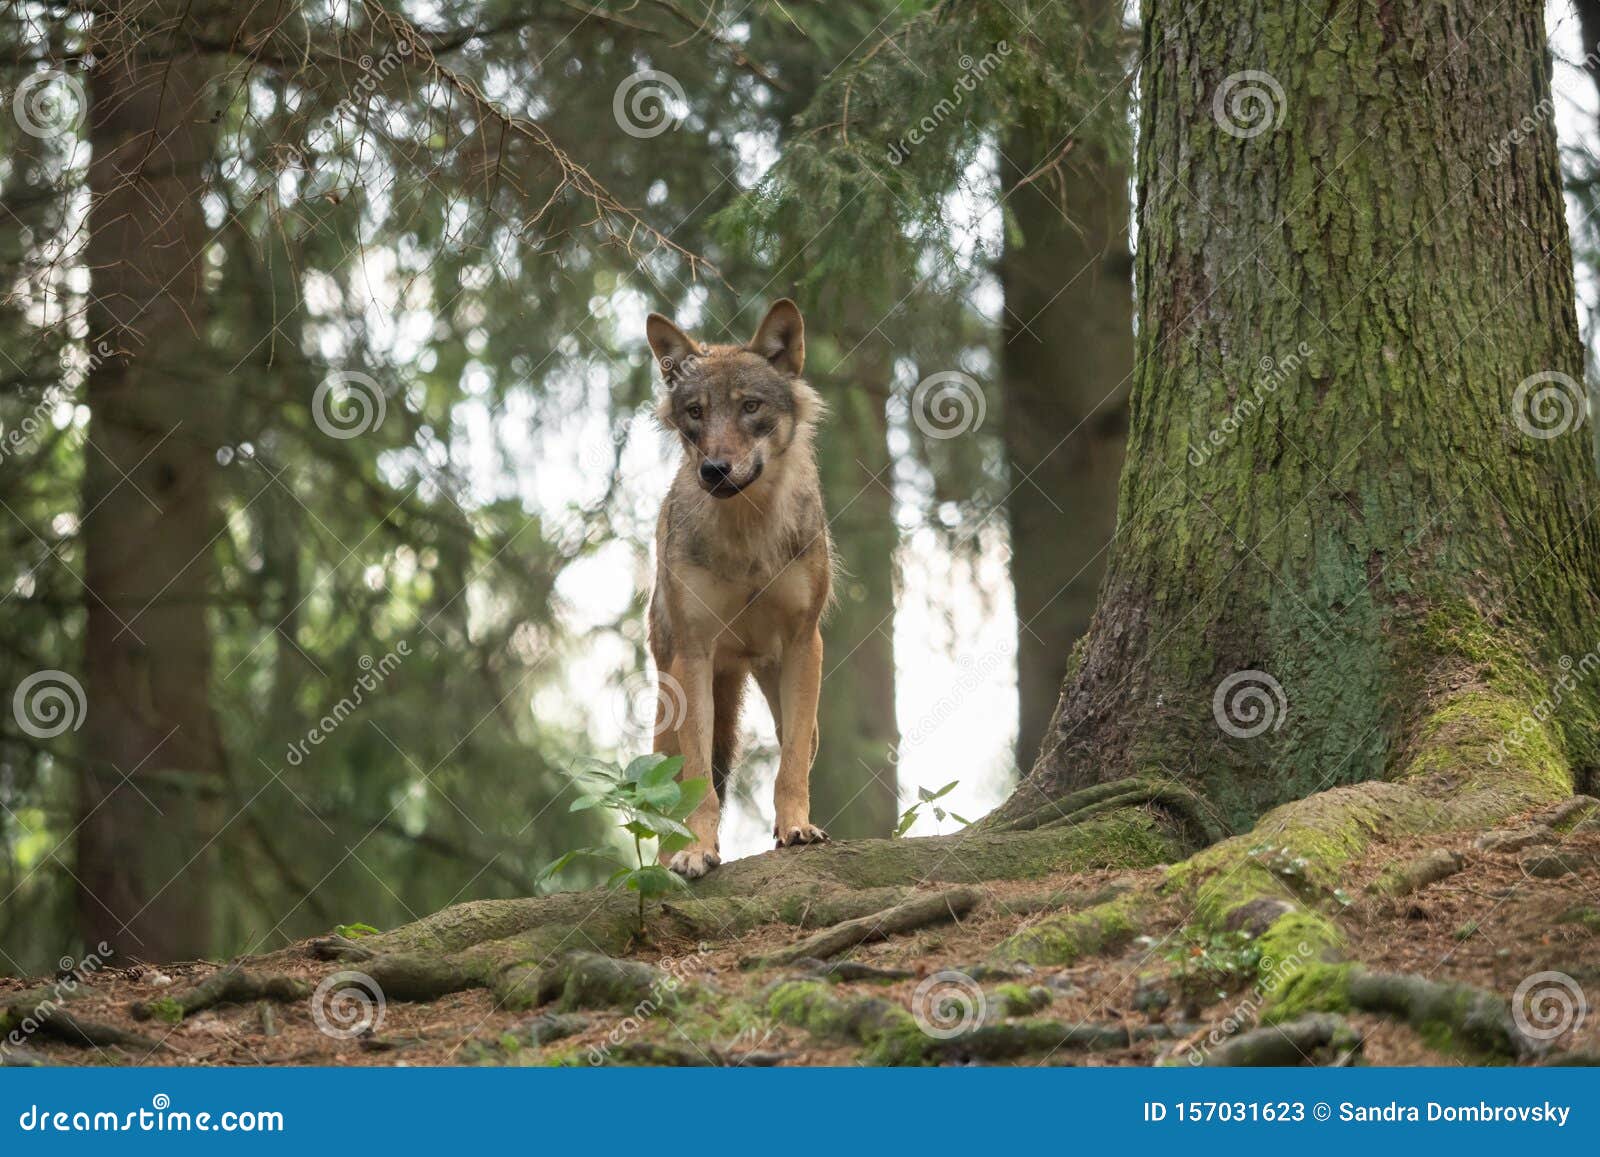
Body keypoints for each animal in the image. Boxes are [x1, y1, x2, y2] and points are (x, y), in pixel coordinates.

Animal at [645, 300, 833, 878]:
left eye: (750, 406)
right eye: (695, 412)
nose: (714, 469)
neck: (747, 531)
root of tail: (740, 662)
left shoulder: (804, 643)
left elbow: (790, 768)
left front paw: (797, 830)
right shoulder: (694, 653)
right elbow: (701, 785)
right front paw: (697, 852)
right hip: (672, 703)